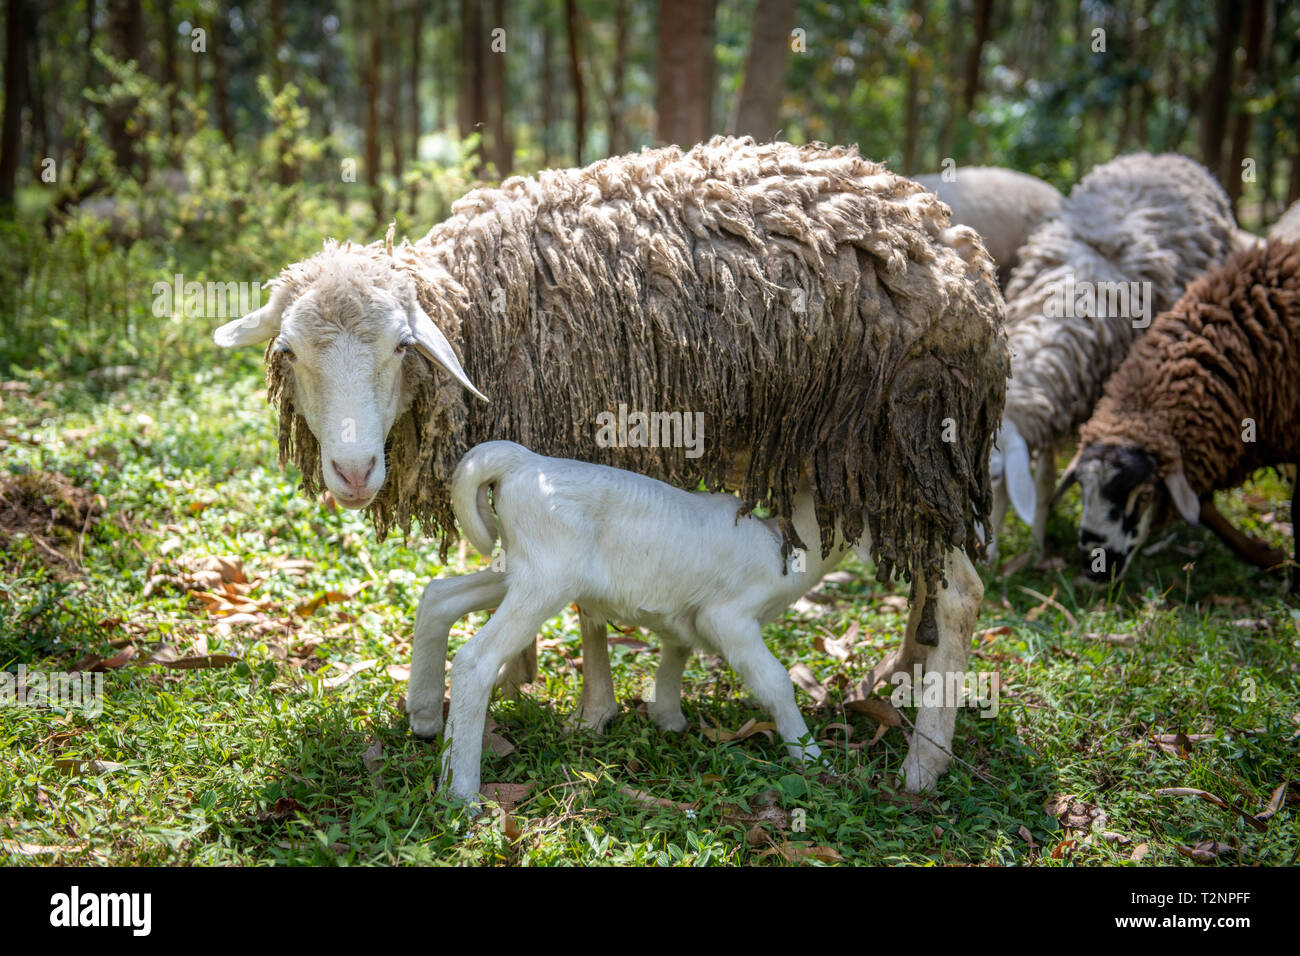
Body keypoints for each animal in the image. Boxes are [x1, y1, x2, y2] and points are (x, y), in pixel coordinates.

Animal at [212, 136, 1008, 794]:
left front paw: (584, 704)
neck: (477, 308)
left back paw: (925, 759)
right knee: (928, 577)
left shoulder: (585, 448)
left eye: (402, 347)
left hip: (905, 439)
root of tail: (959, 247)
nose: (352, 472)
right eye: (288, 351)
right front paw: (531, 682)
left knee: (963, 592)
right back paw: (901, 675)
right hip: (898, 465)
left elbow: (590, 614)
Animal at [989, 153, 1238, 560]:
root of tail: (1169, 156)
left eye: (996, 475)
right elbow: (1044, 477)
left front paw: (1035, 549)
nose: (981, 553)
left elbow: (1043, 484)